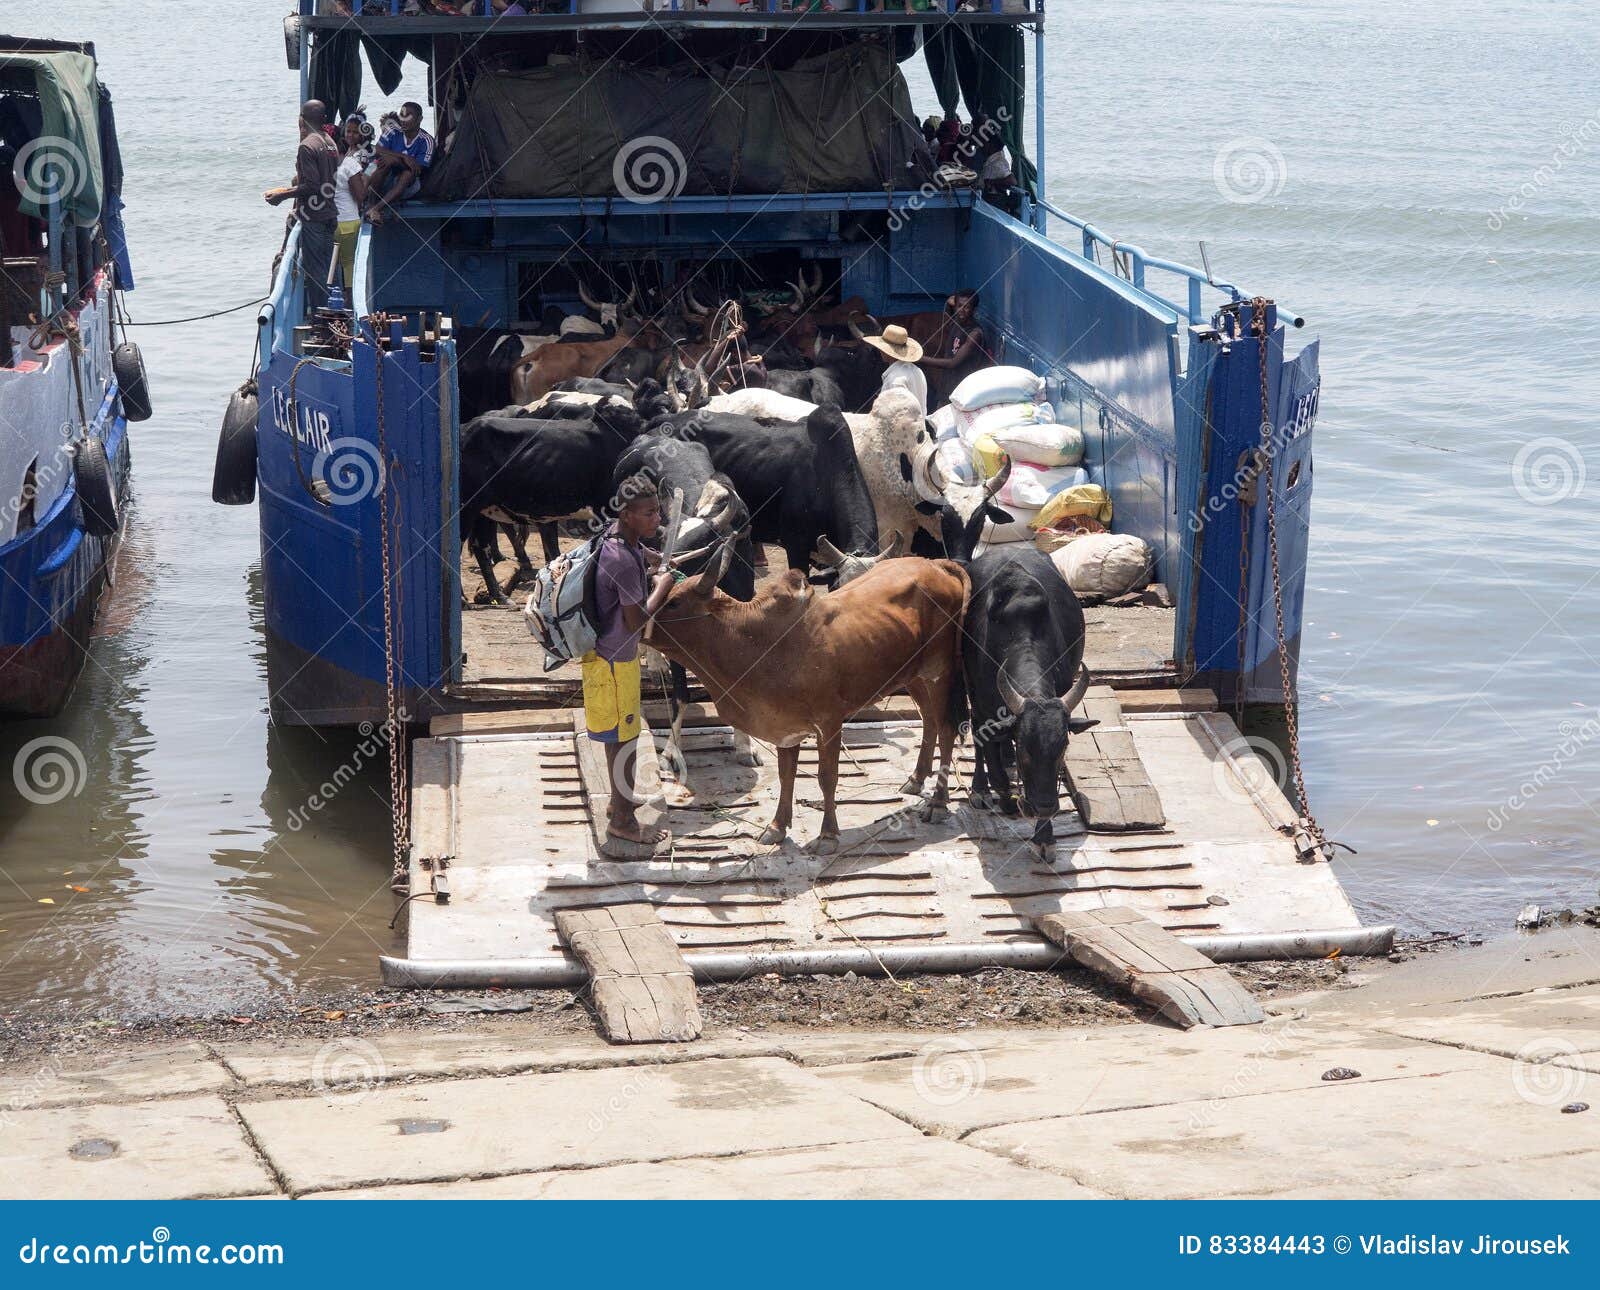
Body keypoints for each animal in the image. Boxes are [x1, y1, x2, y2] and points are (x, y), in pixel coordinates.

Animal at [650, 548, 970, 854]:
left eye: (674, 602)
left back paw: (938, 803)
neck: (755, 643)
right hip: (912, 675)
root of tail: (935, 563)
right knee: (929, 720)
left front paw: (827, 836)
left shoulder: (829, 722)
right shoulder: (784, 725)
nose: (641, 619)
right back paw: (916, 778)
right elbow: (786, 776)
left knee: (946, 729)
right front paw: (777, 827)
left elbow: (826, 777)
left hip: (941, 672)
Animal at [938, 457, 1093, 857]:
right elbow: (991, 753)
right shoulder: (985, 707)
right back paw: (980, 789)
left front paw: (1045, 835)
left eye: (1062, 748)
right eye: (1025, 749)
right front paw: (1002, 794)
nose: (1043, 805)